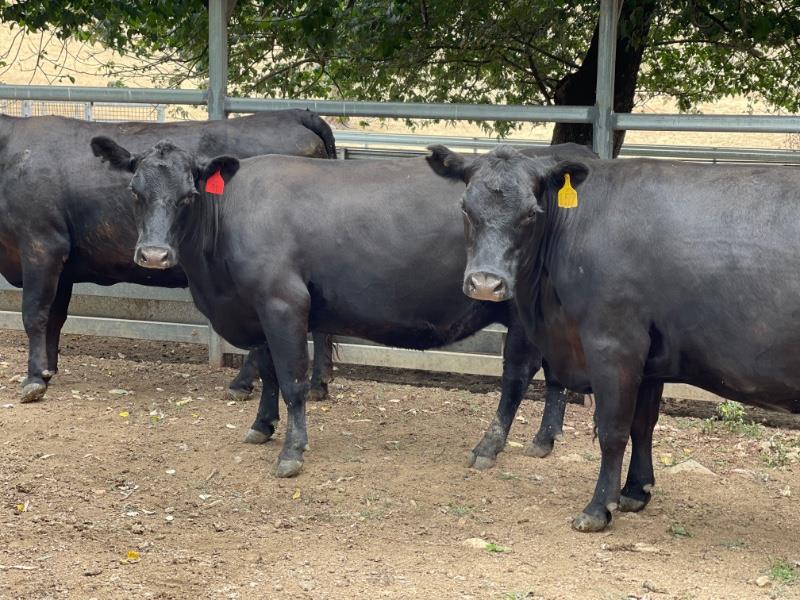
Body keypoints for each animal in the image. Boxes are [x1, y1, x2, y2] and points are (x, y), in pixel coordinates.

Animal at [0, 110, 336, 404]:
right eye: (133, 191)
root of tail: (292, 114)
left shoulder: (42, 244)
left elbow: (35, 314)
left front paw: (33, 379)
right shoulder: (63, 263)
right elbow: (55, 317)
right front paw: (48, 371)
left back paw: (243, 383)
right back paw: (317, 384)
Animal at [90, 136, 597, 476]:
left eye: (188, 196)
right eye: (135, 192)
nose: (154, 255)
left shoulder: (283, 302)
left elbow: (292, 378)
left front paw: (291, 452)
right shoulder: (256, 309)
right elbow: (268, 370)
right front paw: (262, 426)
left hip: (520, 312)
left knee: (518, 375)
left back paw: (489, 447)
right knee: (553, 373)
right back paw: (543, 440)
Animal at [427, 143, 800, 532]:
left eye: (531, 213)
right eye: (465, 208)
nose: (486, 283)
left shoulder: (614, 344)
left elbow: (612, 429)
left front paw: (597, 508)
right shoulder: (651, 358)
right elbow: (643, 424)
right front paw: (635, 491)